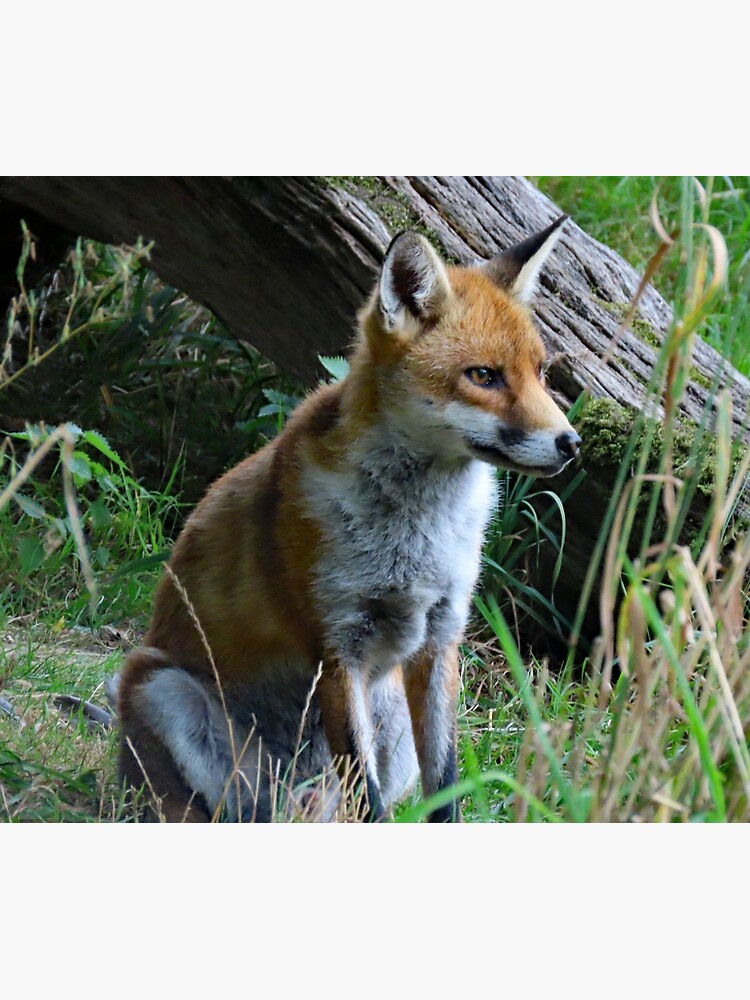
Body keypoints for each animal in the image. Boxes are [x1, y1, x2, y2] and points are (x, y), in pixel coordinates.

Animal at [115, 214, 580, 822]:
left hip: (390, 711)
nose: (571, 443)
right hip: (159, 687)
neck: (415, 536)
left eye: (541, 372)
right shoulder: (338, 646)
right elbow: (369, 798)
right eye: (484, 376)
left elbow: (445, 787)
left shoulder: (439, 638)